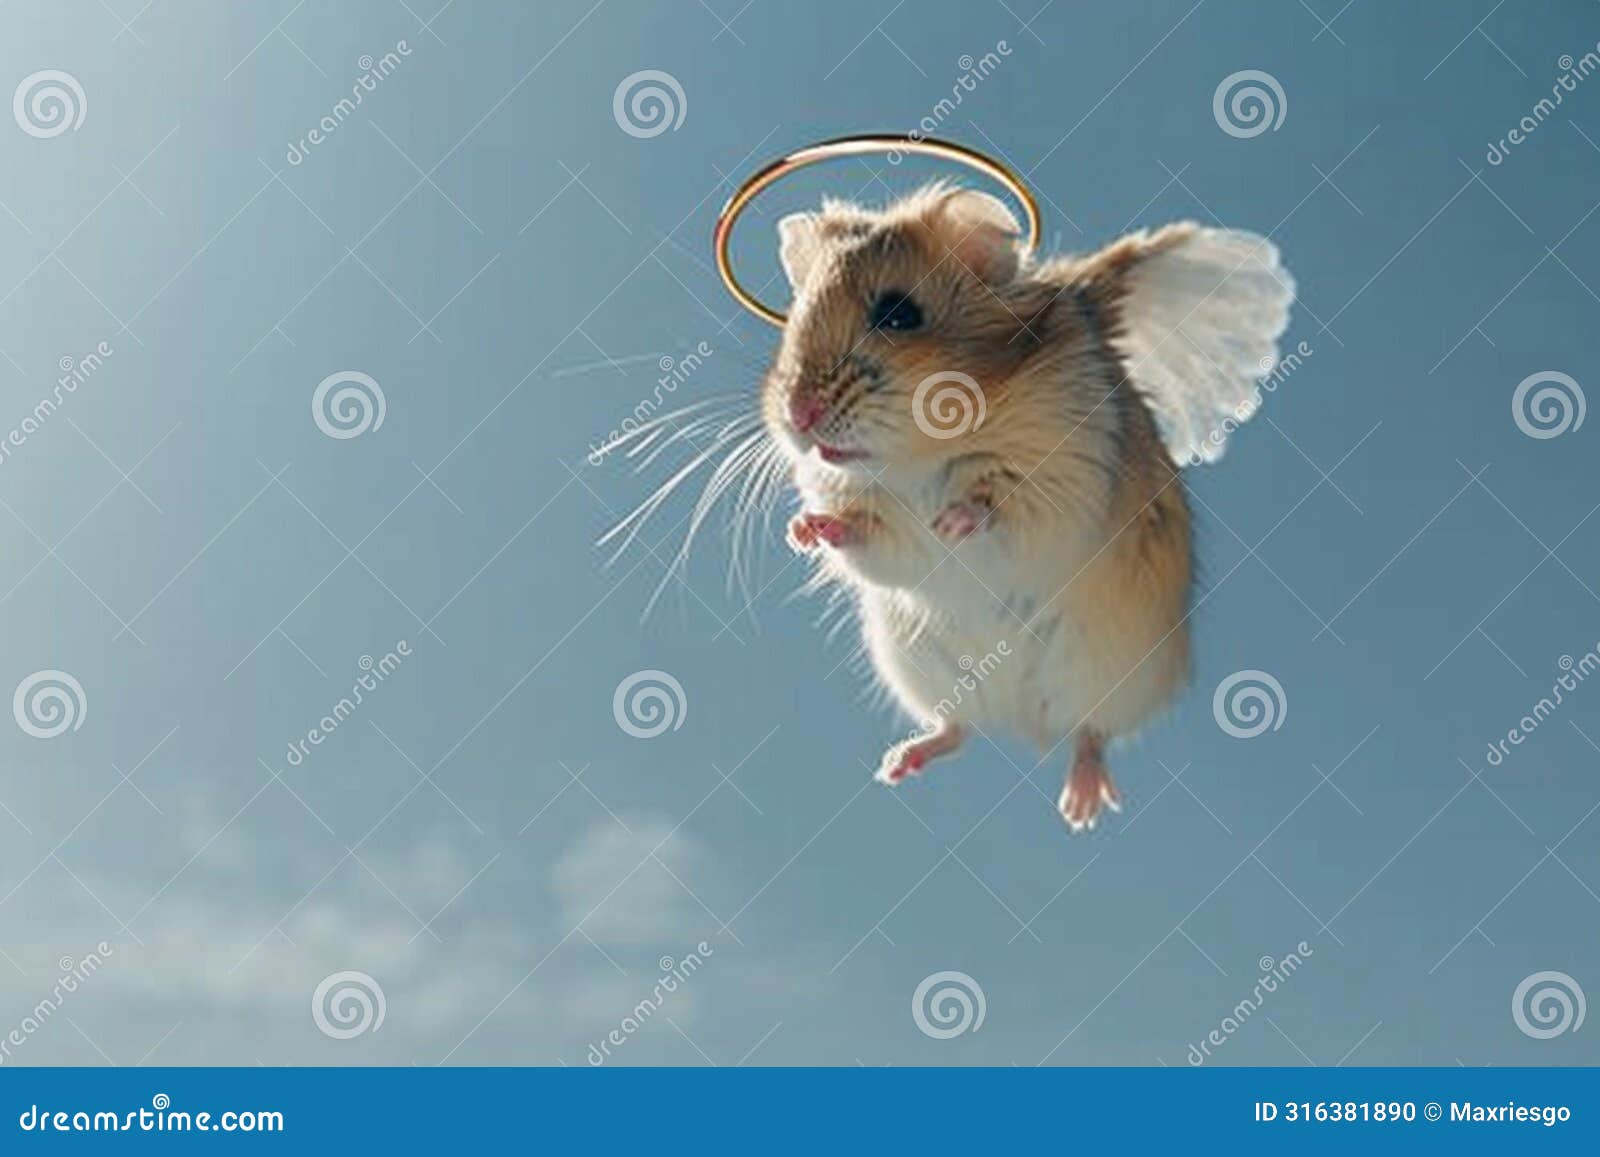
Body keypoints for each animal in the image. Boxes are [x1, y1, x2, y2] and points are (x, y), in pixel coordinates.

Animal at [765, 183, 1294, 831]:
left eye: (898, 314)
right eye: (793, 318)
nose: (798, 415)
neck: (918, 455)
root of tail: (1025, 730)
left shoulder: (1055, 483)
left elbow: (998, 507)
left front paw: (952, 521)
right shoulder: (875, 520)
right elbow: (865, 537)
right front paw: (802, 530)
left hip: (1111, 672)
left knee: (1090, 734)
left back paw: (1081, 810)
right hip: (920, 671)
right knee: (958, 728)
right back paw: (897, 765)